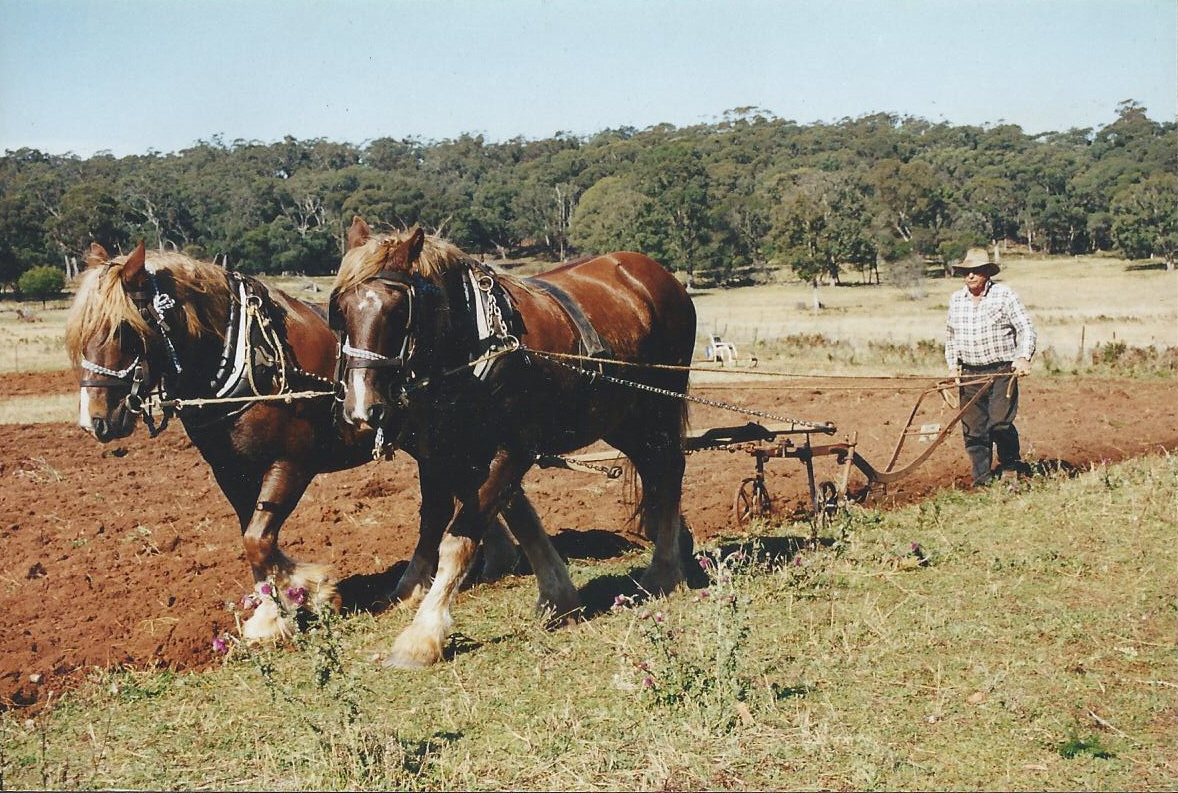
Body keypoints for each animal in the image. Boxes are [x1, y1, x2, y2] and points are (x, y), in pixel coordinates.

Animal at [65, 241, 531, 641]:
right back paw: (495, 559)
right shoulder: (231, 471)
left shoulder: (290, 464)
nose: (95, 421)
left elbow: (258, 540)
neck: (249, 358)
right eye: (80, 335)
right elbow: (254, 537)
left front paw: (288, 607)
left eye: (124, 330)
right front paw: (291, 597)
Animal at [330, 217, 698, 668]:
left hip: (659, 403)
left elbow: (460, 537)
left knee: (670, 469)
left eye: (399, 310)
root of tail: (657, 273)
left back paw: (664, 571)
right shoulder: (443, 452)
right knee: (652, 469)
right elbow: (460, 520)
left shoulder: (513, 448)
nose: (362, 409)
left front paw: (422, 635)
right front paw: (559, 597)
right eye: (340, 309)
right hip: (623, 417)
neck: (474, 346)